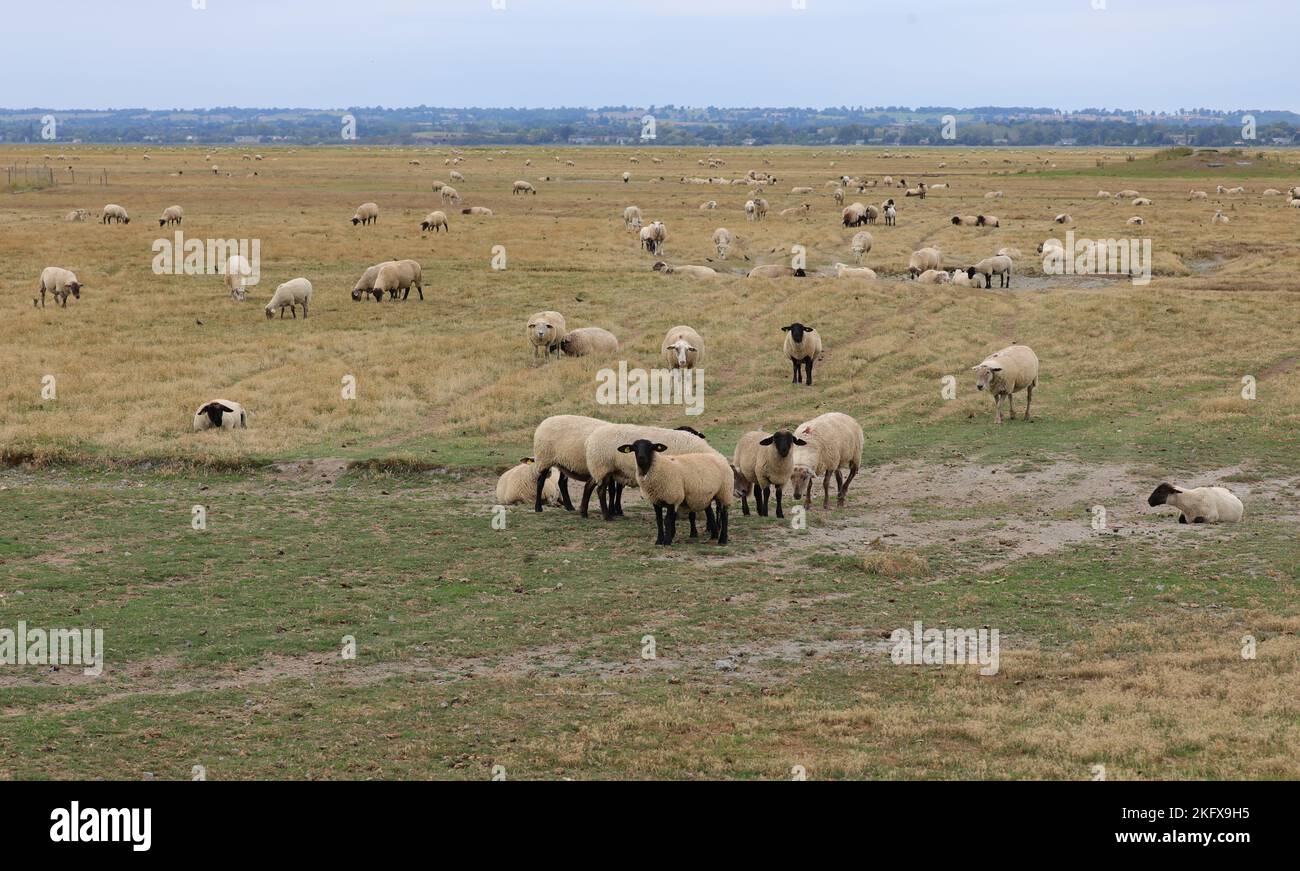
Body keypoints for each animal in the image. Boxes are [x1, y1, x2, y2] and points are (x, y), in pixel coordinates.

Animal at [586, 424, 721, 523]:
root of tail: (592, 437)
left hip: (605, 469)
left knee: (593, 486)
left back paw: (589, 513)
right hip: (602, 466)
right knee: (601, 491)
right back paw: (607, 516)